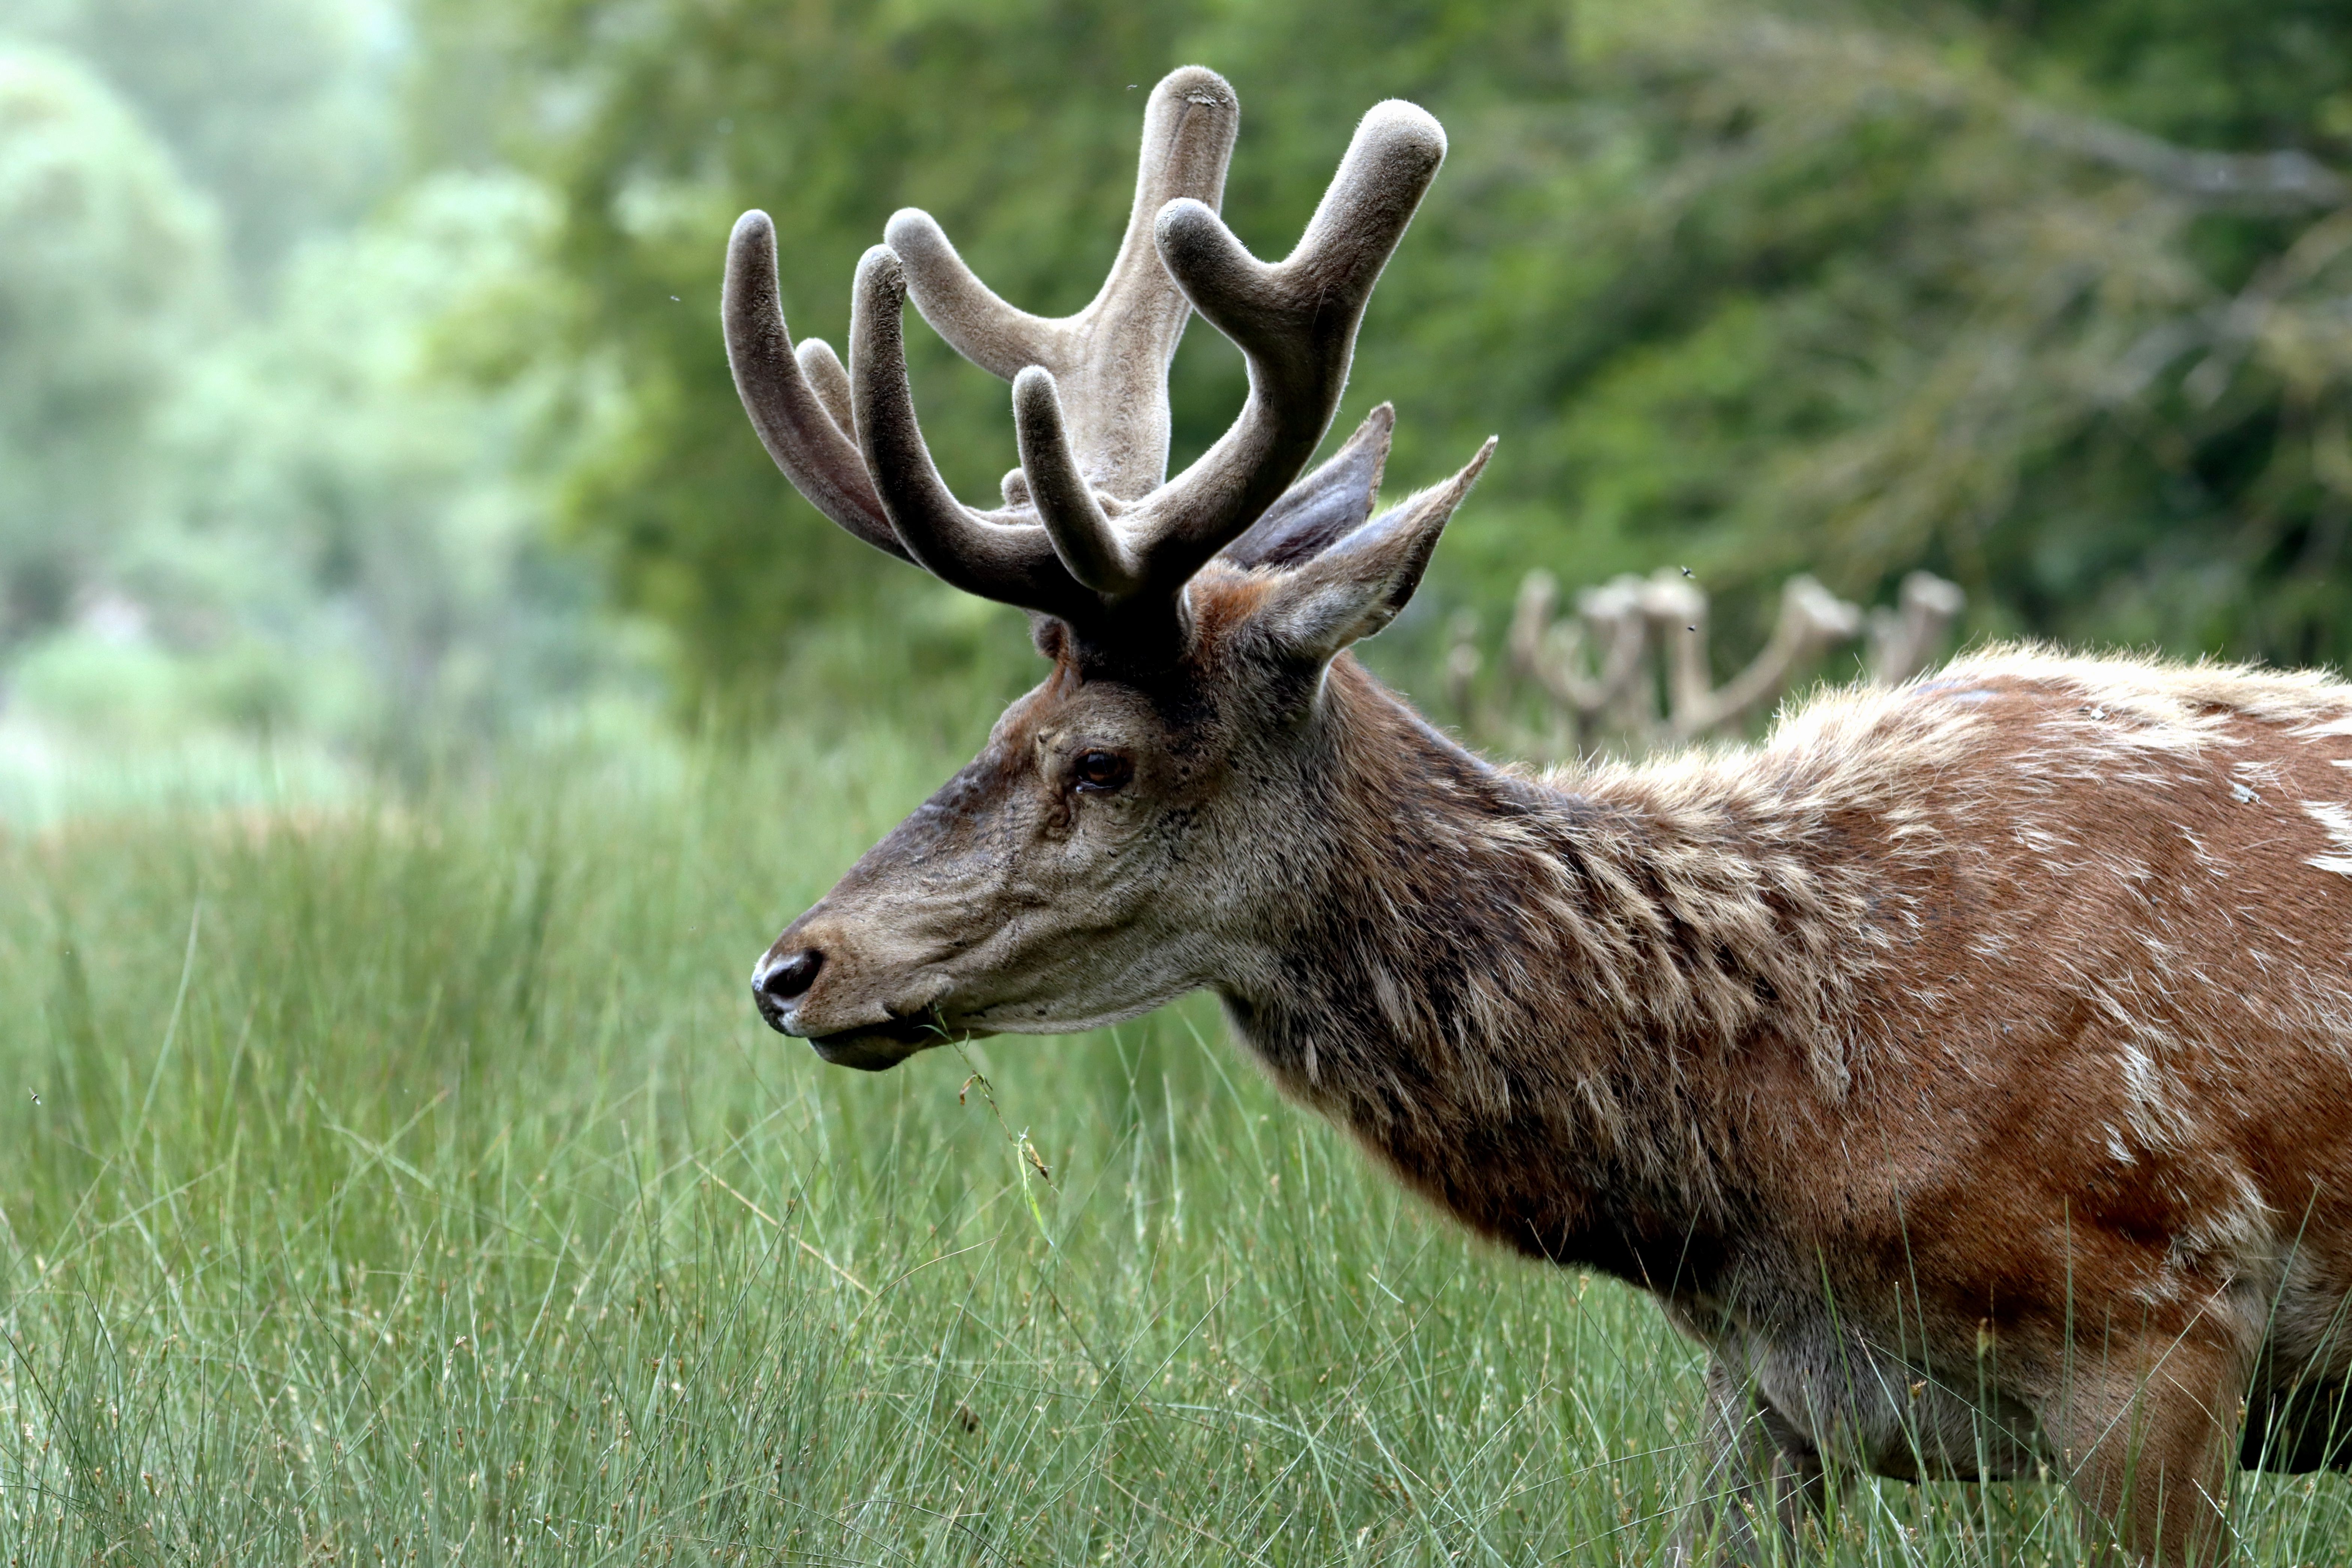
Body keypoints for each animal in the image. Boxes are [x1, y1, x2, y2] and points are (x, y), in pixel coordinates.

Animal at [729, 66, 2352, 1565]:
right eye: (1004, 726)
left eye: (1101, 760)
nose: (795, 967)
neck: (1775, 1133)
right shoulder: (1766, 1393)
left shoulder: (2159, 1325)